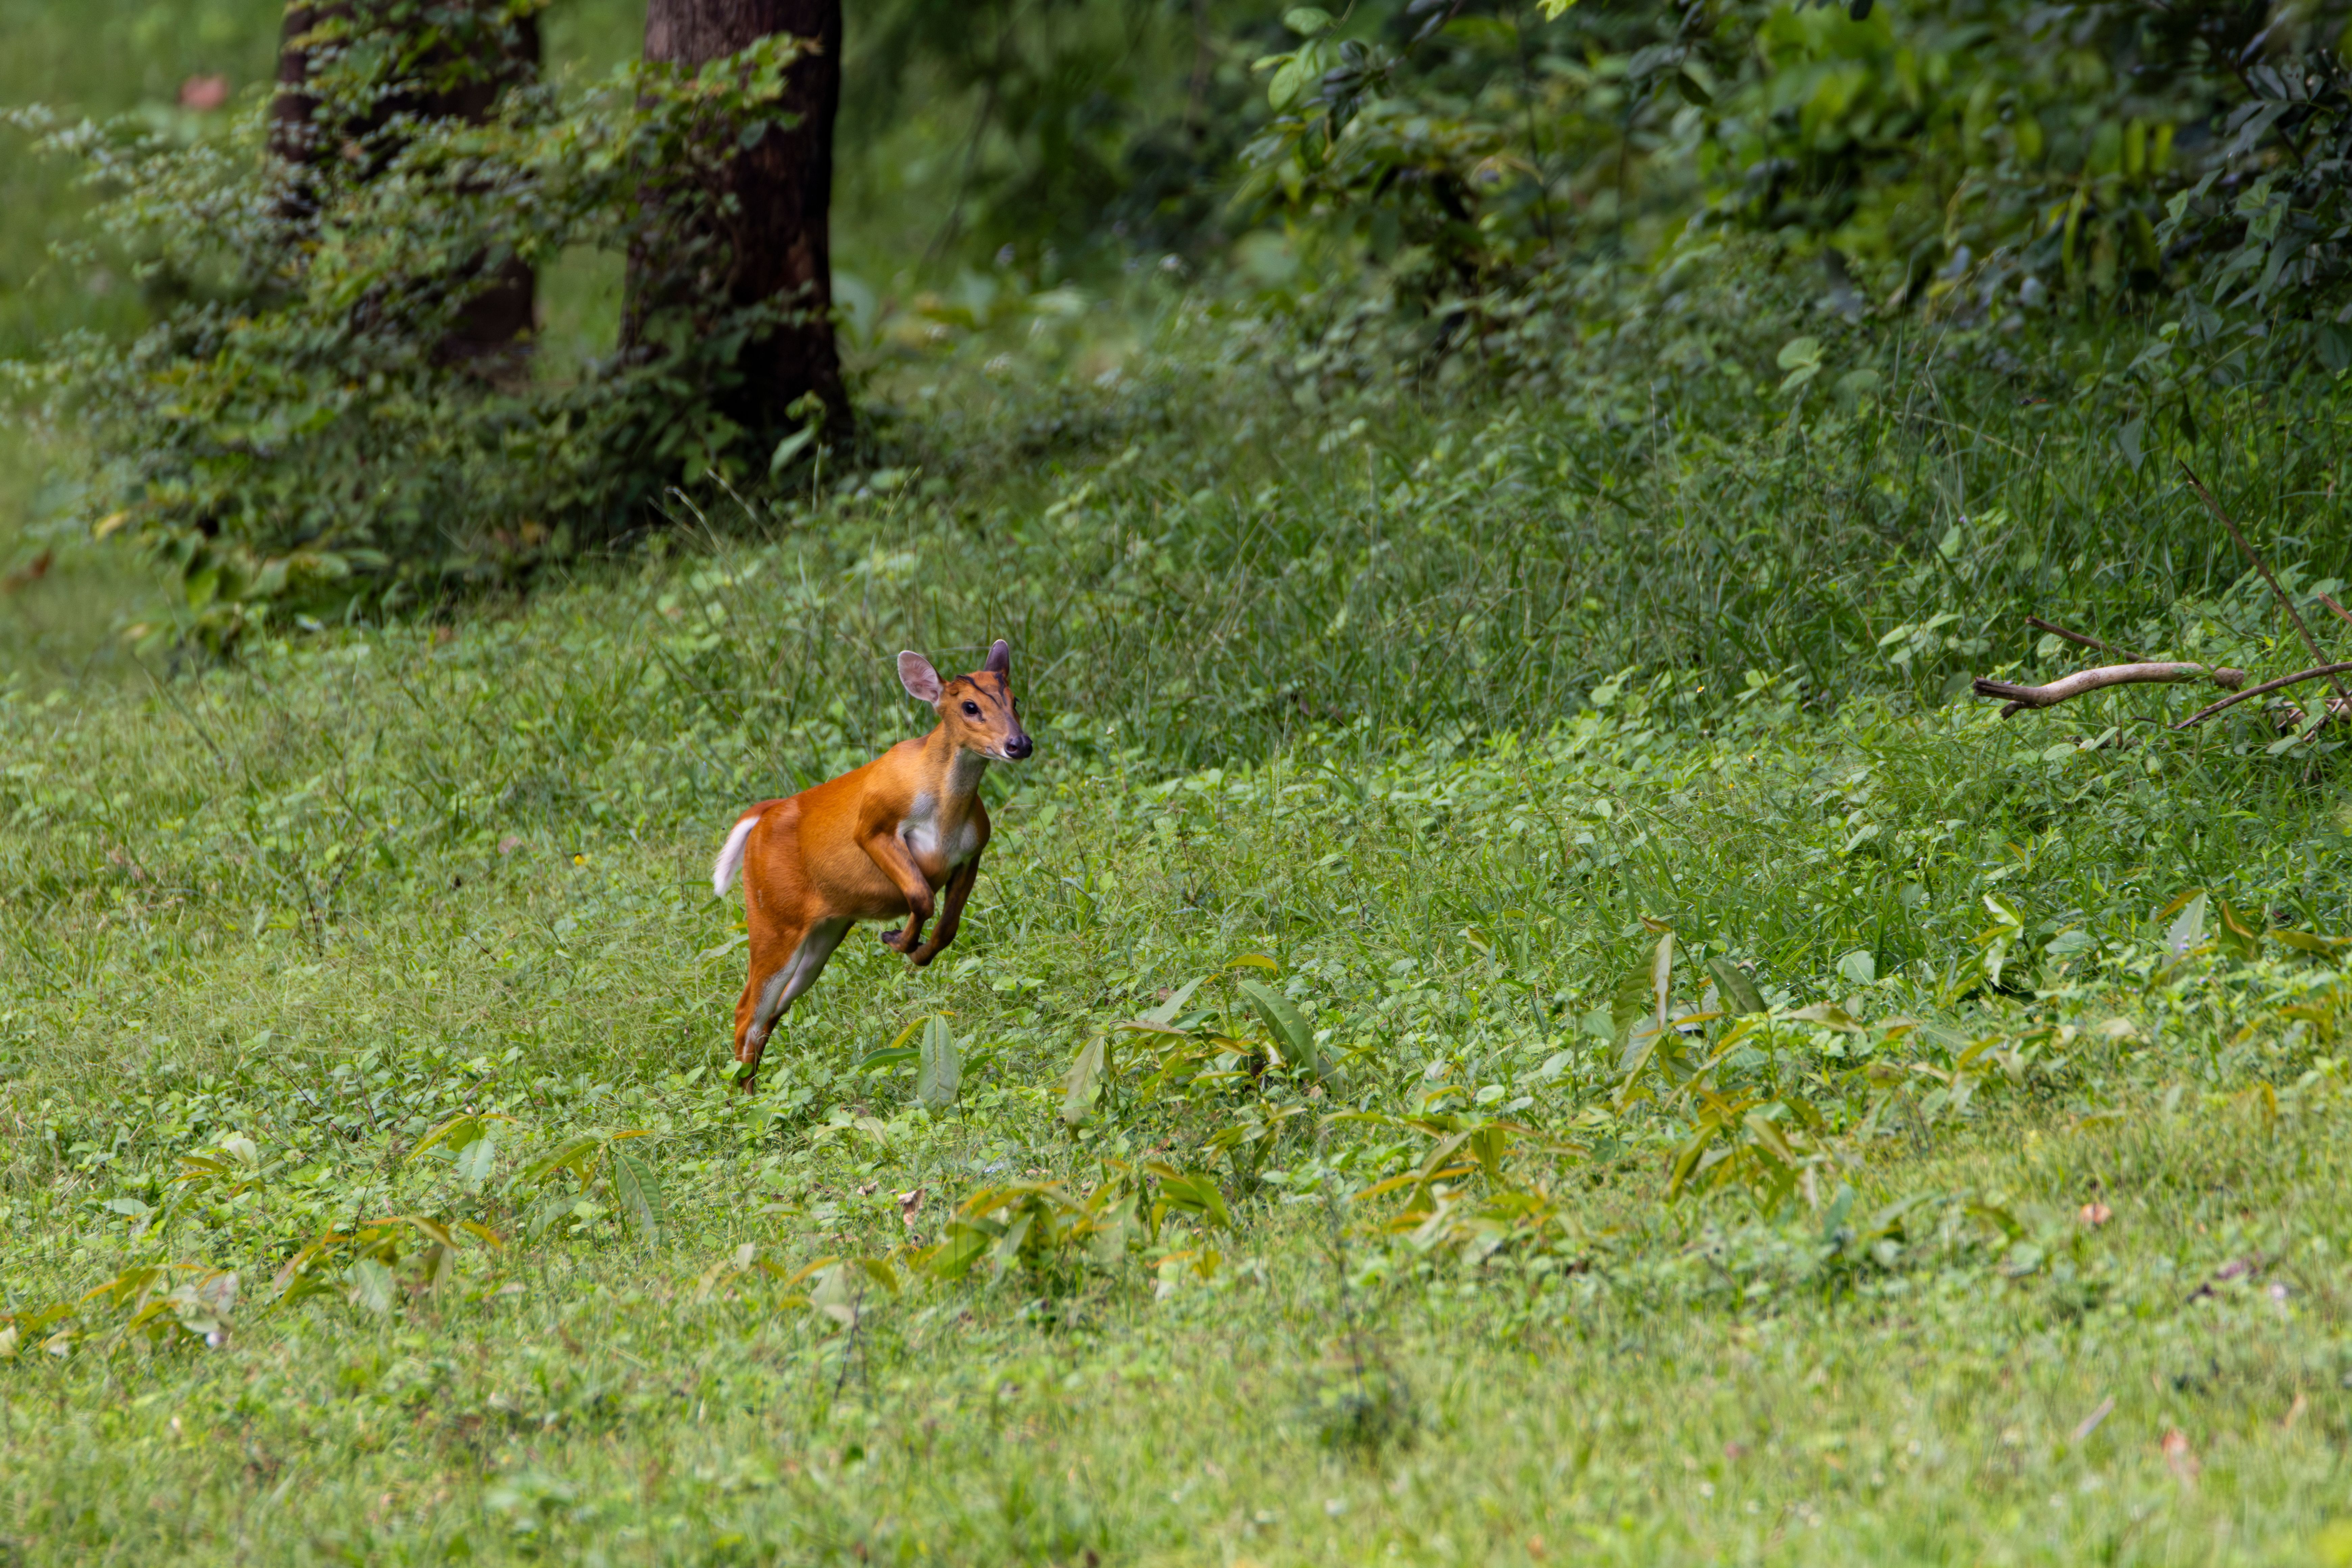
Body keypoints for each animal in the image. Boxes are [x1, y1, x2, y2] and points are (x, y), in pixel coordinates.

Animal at [710, 639, 1032, 1090]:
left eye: (1015, 700)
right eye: (970, 706)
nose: (1019, 744)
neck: (945, 815)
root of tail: (763, 815)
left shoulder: (973, 852)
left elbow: (948, 926)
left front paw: (916, 951)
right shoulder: (873, 822)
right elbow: (921, 895)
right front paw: (898, 940)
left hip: (824, 933)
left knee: (769, 1015)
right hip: (773, 917)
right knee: (747, 1012)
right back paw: (744, 1099)